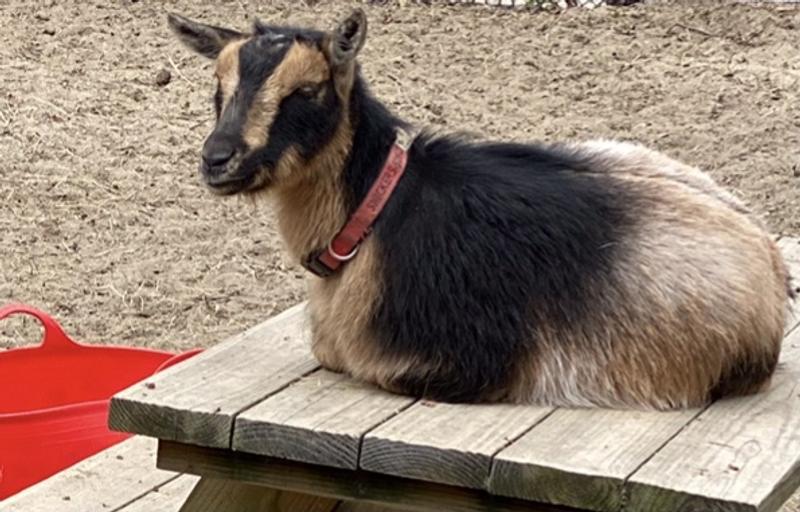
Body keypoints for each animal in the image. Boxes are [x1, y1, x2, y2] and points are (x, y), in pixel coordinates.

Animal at [167, 9, 794, 410]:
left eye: (306, 91)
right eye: (218, 88)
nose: (218, 159)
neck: (376, 211)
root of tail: (771, 268)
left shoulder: (444, 366)